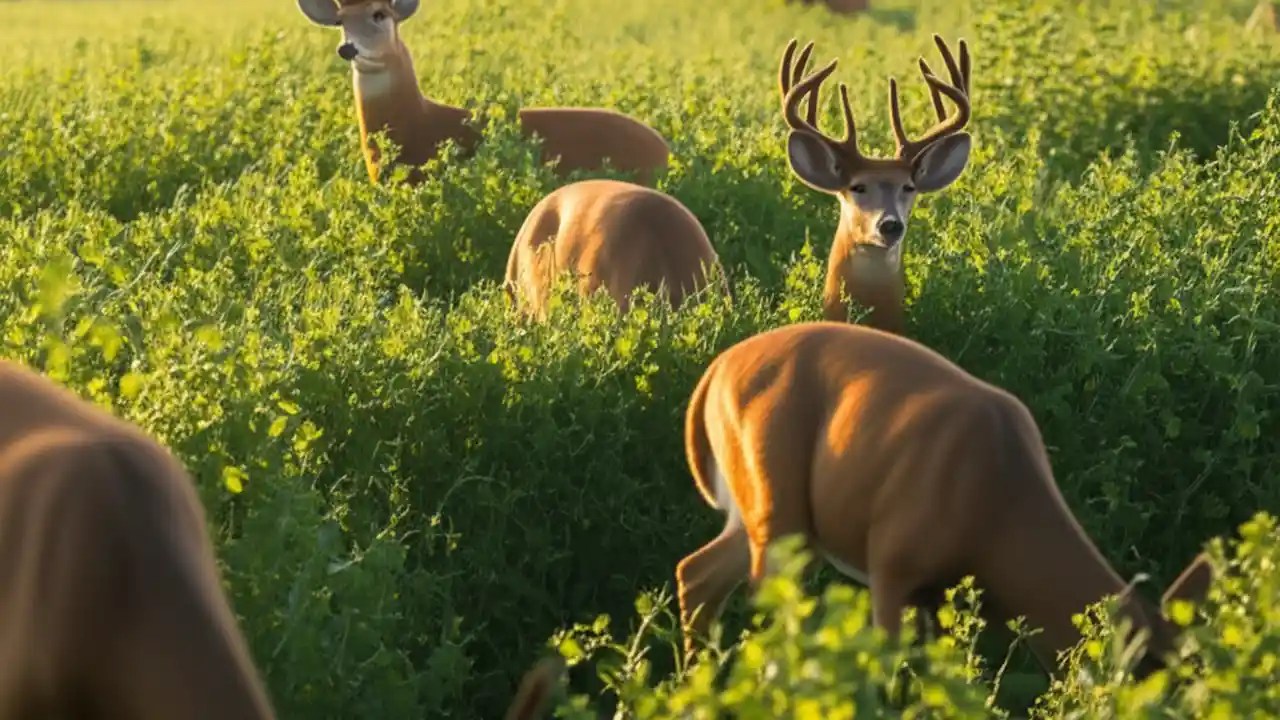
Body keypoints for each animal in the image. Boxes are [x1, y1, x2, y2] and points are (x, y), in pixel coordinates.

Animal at [675, 321, 1214, 678]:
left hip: (759, 513)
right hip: (779, 510)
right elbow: (888, 670)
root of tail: (714, 373)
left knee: (695, 573)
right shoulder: (891, 565)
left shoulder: (938, 597)